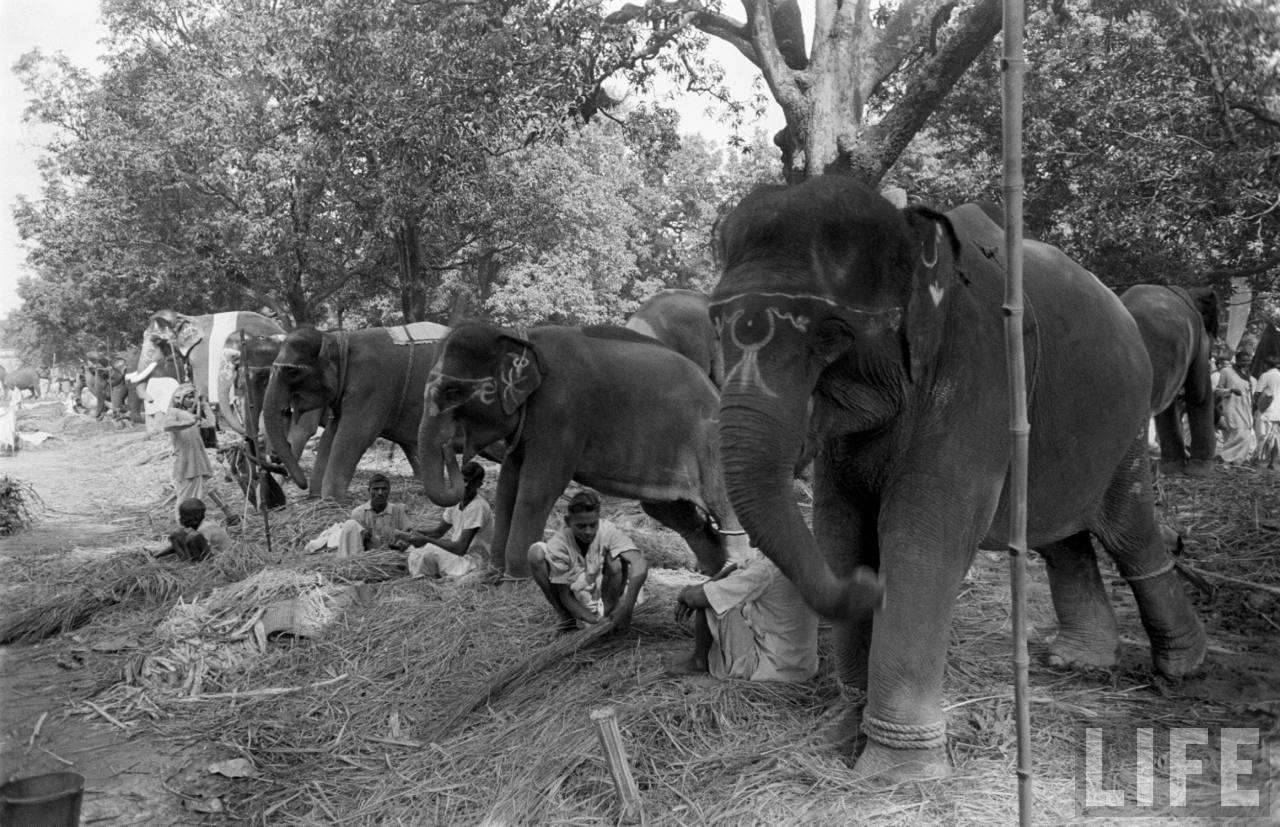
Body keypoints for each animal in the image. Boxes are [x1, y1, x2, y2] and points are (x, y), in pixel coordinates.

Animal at [264, 322, 451, 501]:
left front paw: (331, 500)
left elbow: (354, 435)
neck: (340, 340)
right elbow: (330, 435)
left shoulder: (371, 385)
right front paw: (317, 498)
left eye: (291, 370)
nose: (274, 457)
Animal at [417, 322, 737, 581]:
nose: (451, 450)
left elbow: (538, 487)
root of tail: (713, 388)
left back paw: (732, 569)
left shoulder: (561, 415)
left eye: (453, 392)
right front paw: (492, 577)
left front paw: (516, 580)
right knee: (671, 511)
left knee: (722, 505)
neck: (523, 339)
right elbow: (508, 484)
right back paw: (713, 570)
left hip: (711, 445)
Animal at [709, 176, 1206, 783]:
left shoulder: (977, 371)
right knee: (1062, 538)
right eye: (714, 325)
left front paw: (893, 773)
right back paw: (1079, 660)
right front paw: (844, 722)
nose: (868, 587)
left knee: (1129, 533)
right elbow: (839, 528)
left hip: (1125, 425)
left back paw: (1180, 667)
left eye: (832, 333)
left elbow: (921, 535)